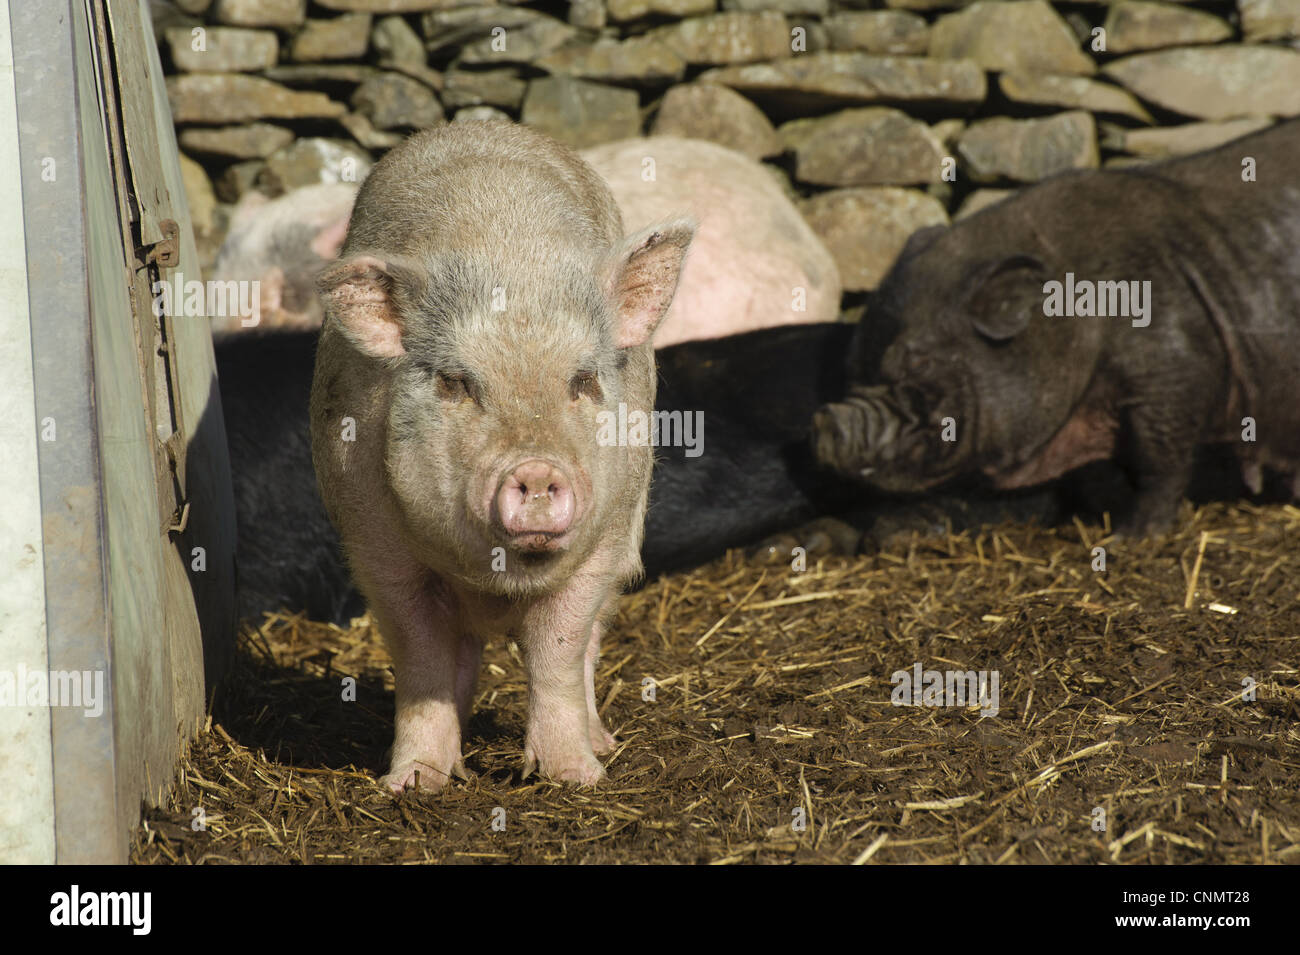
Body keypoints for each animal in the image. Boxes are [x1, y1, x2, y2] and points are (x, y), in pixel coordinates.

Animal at [309, 122, 693, 790]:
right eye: (457, 382)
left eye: (583, 380)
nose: (536, 470)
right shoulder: (376, 546)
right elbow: (422, 659)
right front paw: (413, 784)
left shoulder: (605, 538)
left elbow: (559, 650)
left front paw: (576, 779)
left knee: (588, 645)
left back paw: (603, 744)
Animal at [813, 119, 1300, 535]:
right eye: (852, 367)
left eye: (914, 364)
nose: (827, 419)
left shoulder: (1173, 374)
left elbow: (1159, 462)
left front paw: (1128, 539)